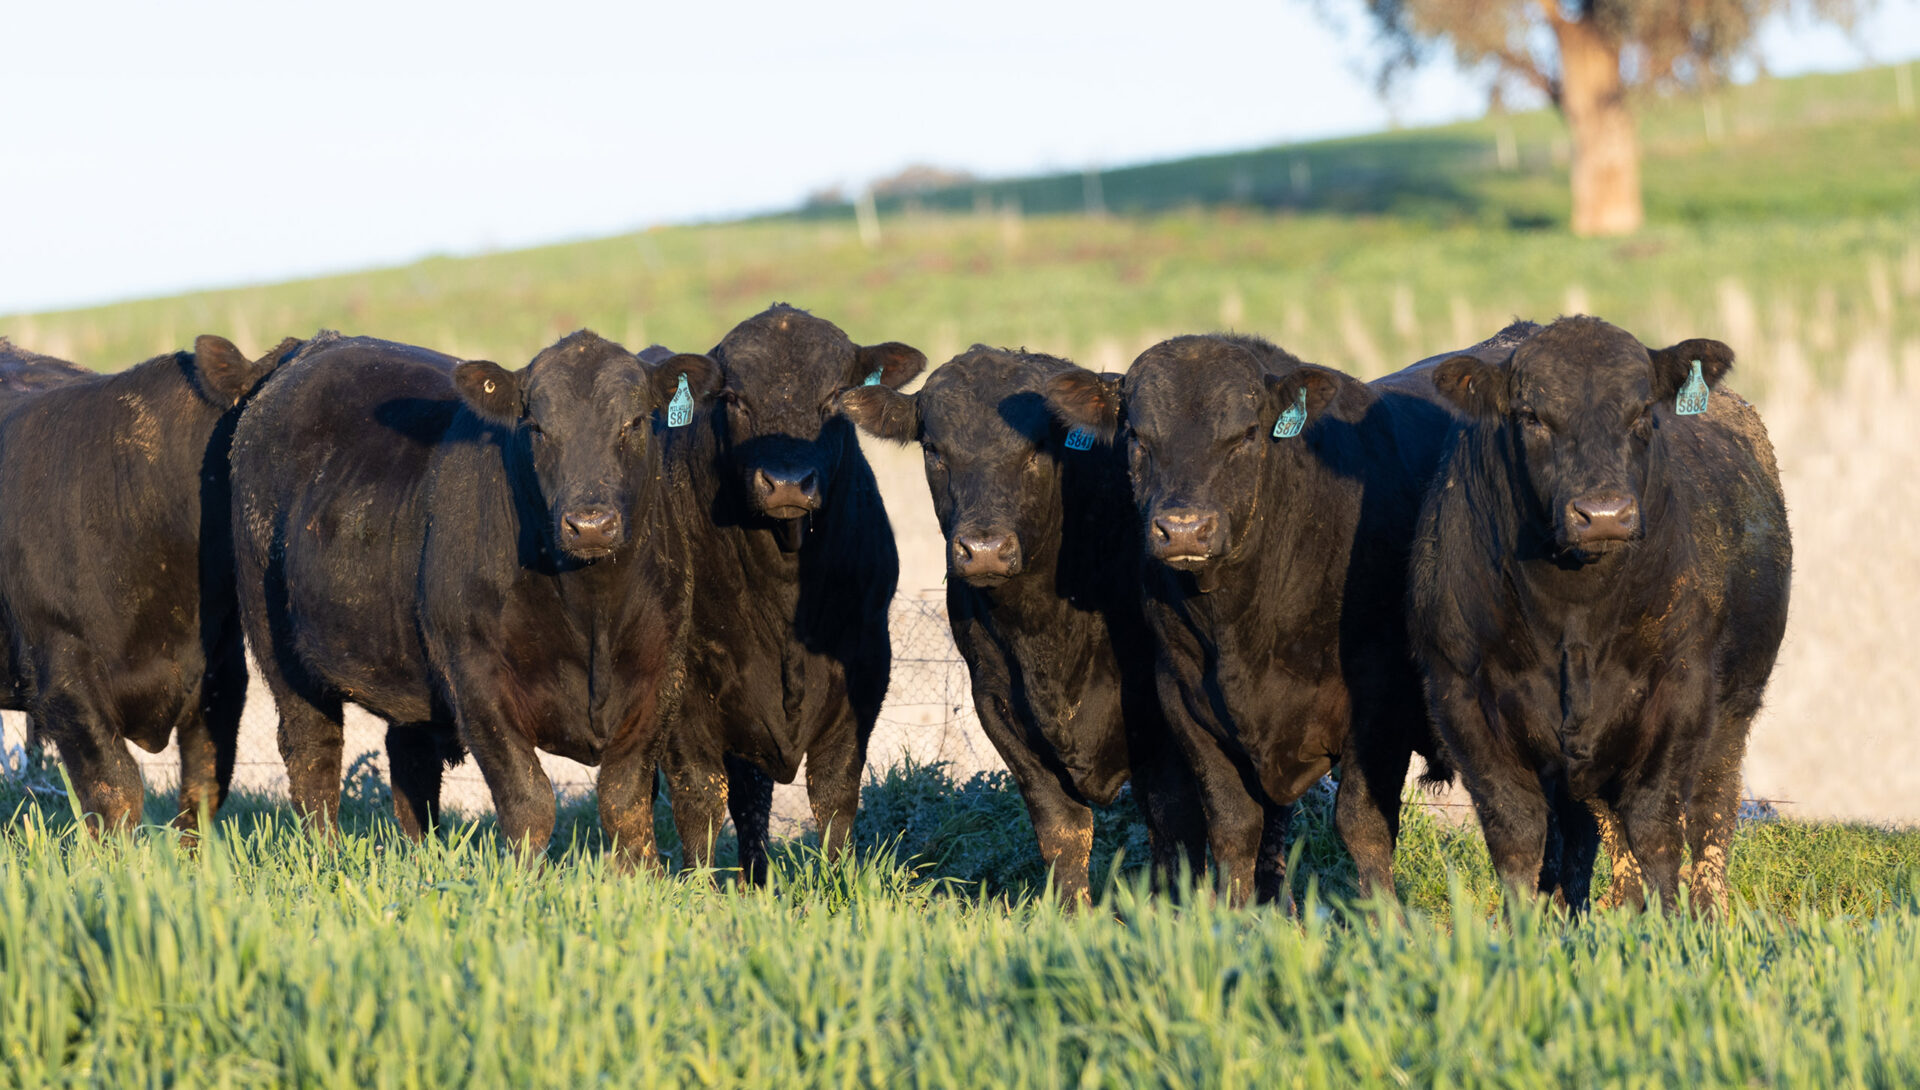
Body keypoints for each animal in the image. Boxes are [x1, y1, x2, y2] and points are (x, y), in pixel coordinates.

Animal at [662, 304, 923, 884]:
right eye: (735, 399)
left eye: (834, 397)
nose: (786, 482)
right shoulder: (685, 679)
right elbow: (699, 797)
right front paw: (698, 890)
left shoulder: (866, 662)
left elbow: (835, 790)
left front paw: (837, 882)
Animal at [841, 345, 1206, 902]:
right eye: (934, 449)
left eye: (1037, 449)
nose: (984, 549)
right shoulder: (997, 704)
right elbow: (1062, 834)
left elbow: (1175, 830)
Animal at [1044, 333, 1453, 905]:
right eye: (1136, 436)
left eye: (1246, 434)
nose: (1184, 528)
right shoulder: (1182, 697)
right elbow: (1233, 826)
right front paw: (1234, 916)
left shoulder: (1379, 701)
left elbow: (1361, 823)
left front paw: (1385, 919)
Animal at [1408, 315, 1791, 915]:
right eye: (1531, 415)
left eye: (1642, 414)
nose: (1604, 514)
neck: (1574, 621)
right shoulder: (1461, 697)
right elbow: (1517, 835)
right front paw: (1521, 930)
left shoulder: (1678, 690)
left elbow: (1656, 826)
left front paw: (1671, 927)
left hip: (1732, 712)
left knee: (1710, 810)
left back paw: (1707, 911)